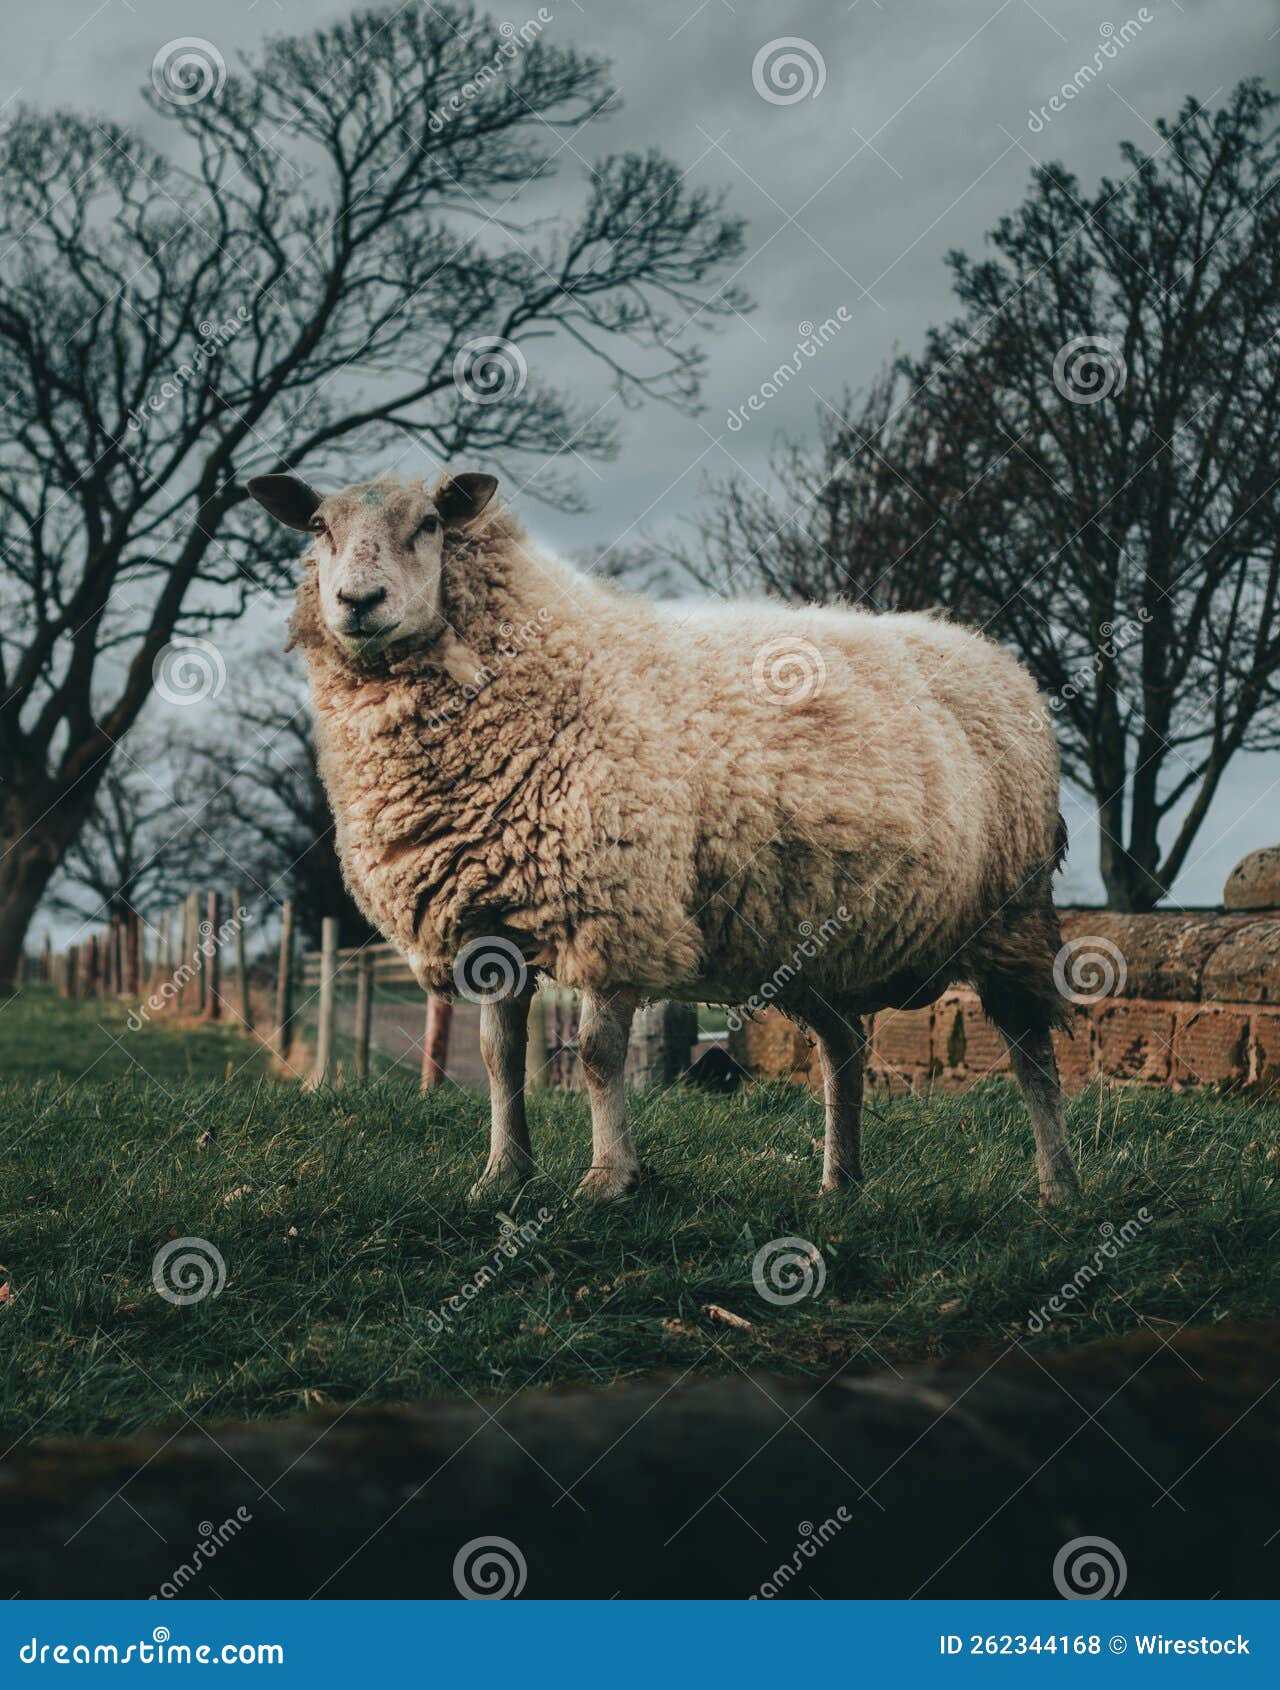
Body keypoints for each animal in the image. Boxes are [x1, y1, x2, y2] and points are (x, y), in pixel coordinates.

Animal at [247, 469, 1080, 1206]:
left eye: (428, 524)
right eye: (318, 527)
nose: (358, 602)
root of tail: (992, 654)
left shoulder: (614, 911)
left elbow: (596, 1054)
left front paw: (609, 1180)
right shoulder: (489, 924)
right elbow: (498, 1057)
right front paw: (502, 1176)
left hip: (1010, 912)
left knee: (1031, 1050)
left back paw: (1057, 1186)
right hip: (817, 937)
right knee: (844, 1048)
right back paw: (841, 1183)